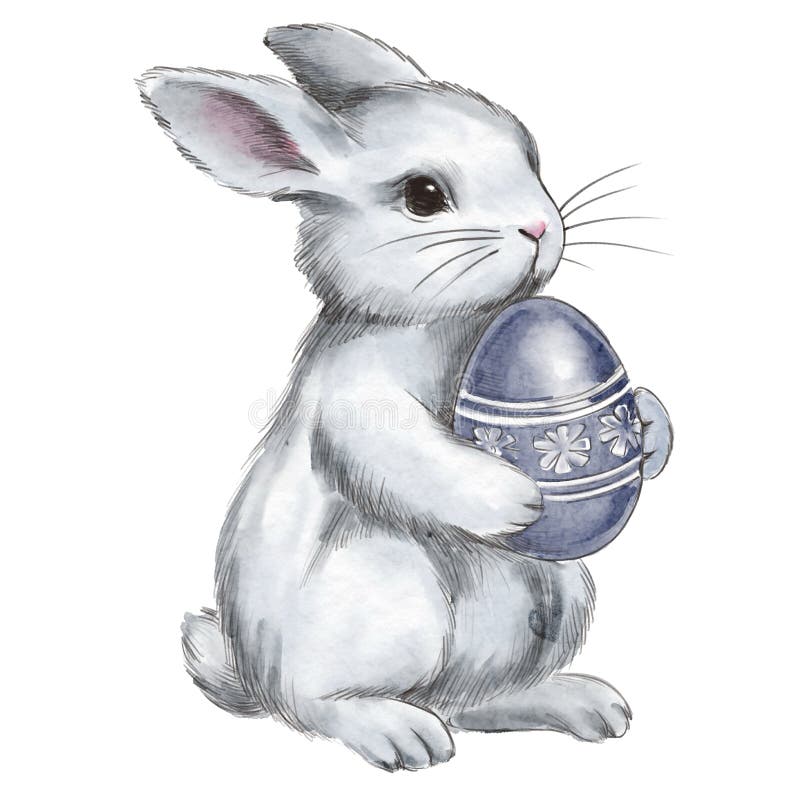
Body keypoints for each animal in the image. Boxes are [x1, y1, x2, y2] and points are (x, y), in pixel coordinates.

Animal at [138, 23, 673, 771]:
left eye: (528, 153)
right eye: (422, 196)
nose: (539, 229)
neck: (453, 323)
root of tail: (254, 677)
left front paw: (650, 431)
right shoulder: (357, 403)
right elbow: (407, 453)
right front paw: (516, 498)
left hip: (559, 597)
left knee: (476, 701)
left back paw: (585, 704)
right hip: (390, 598)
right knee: (323, 707)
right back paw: (399, 735)